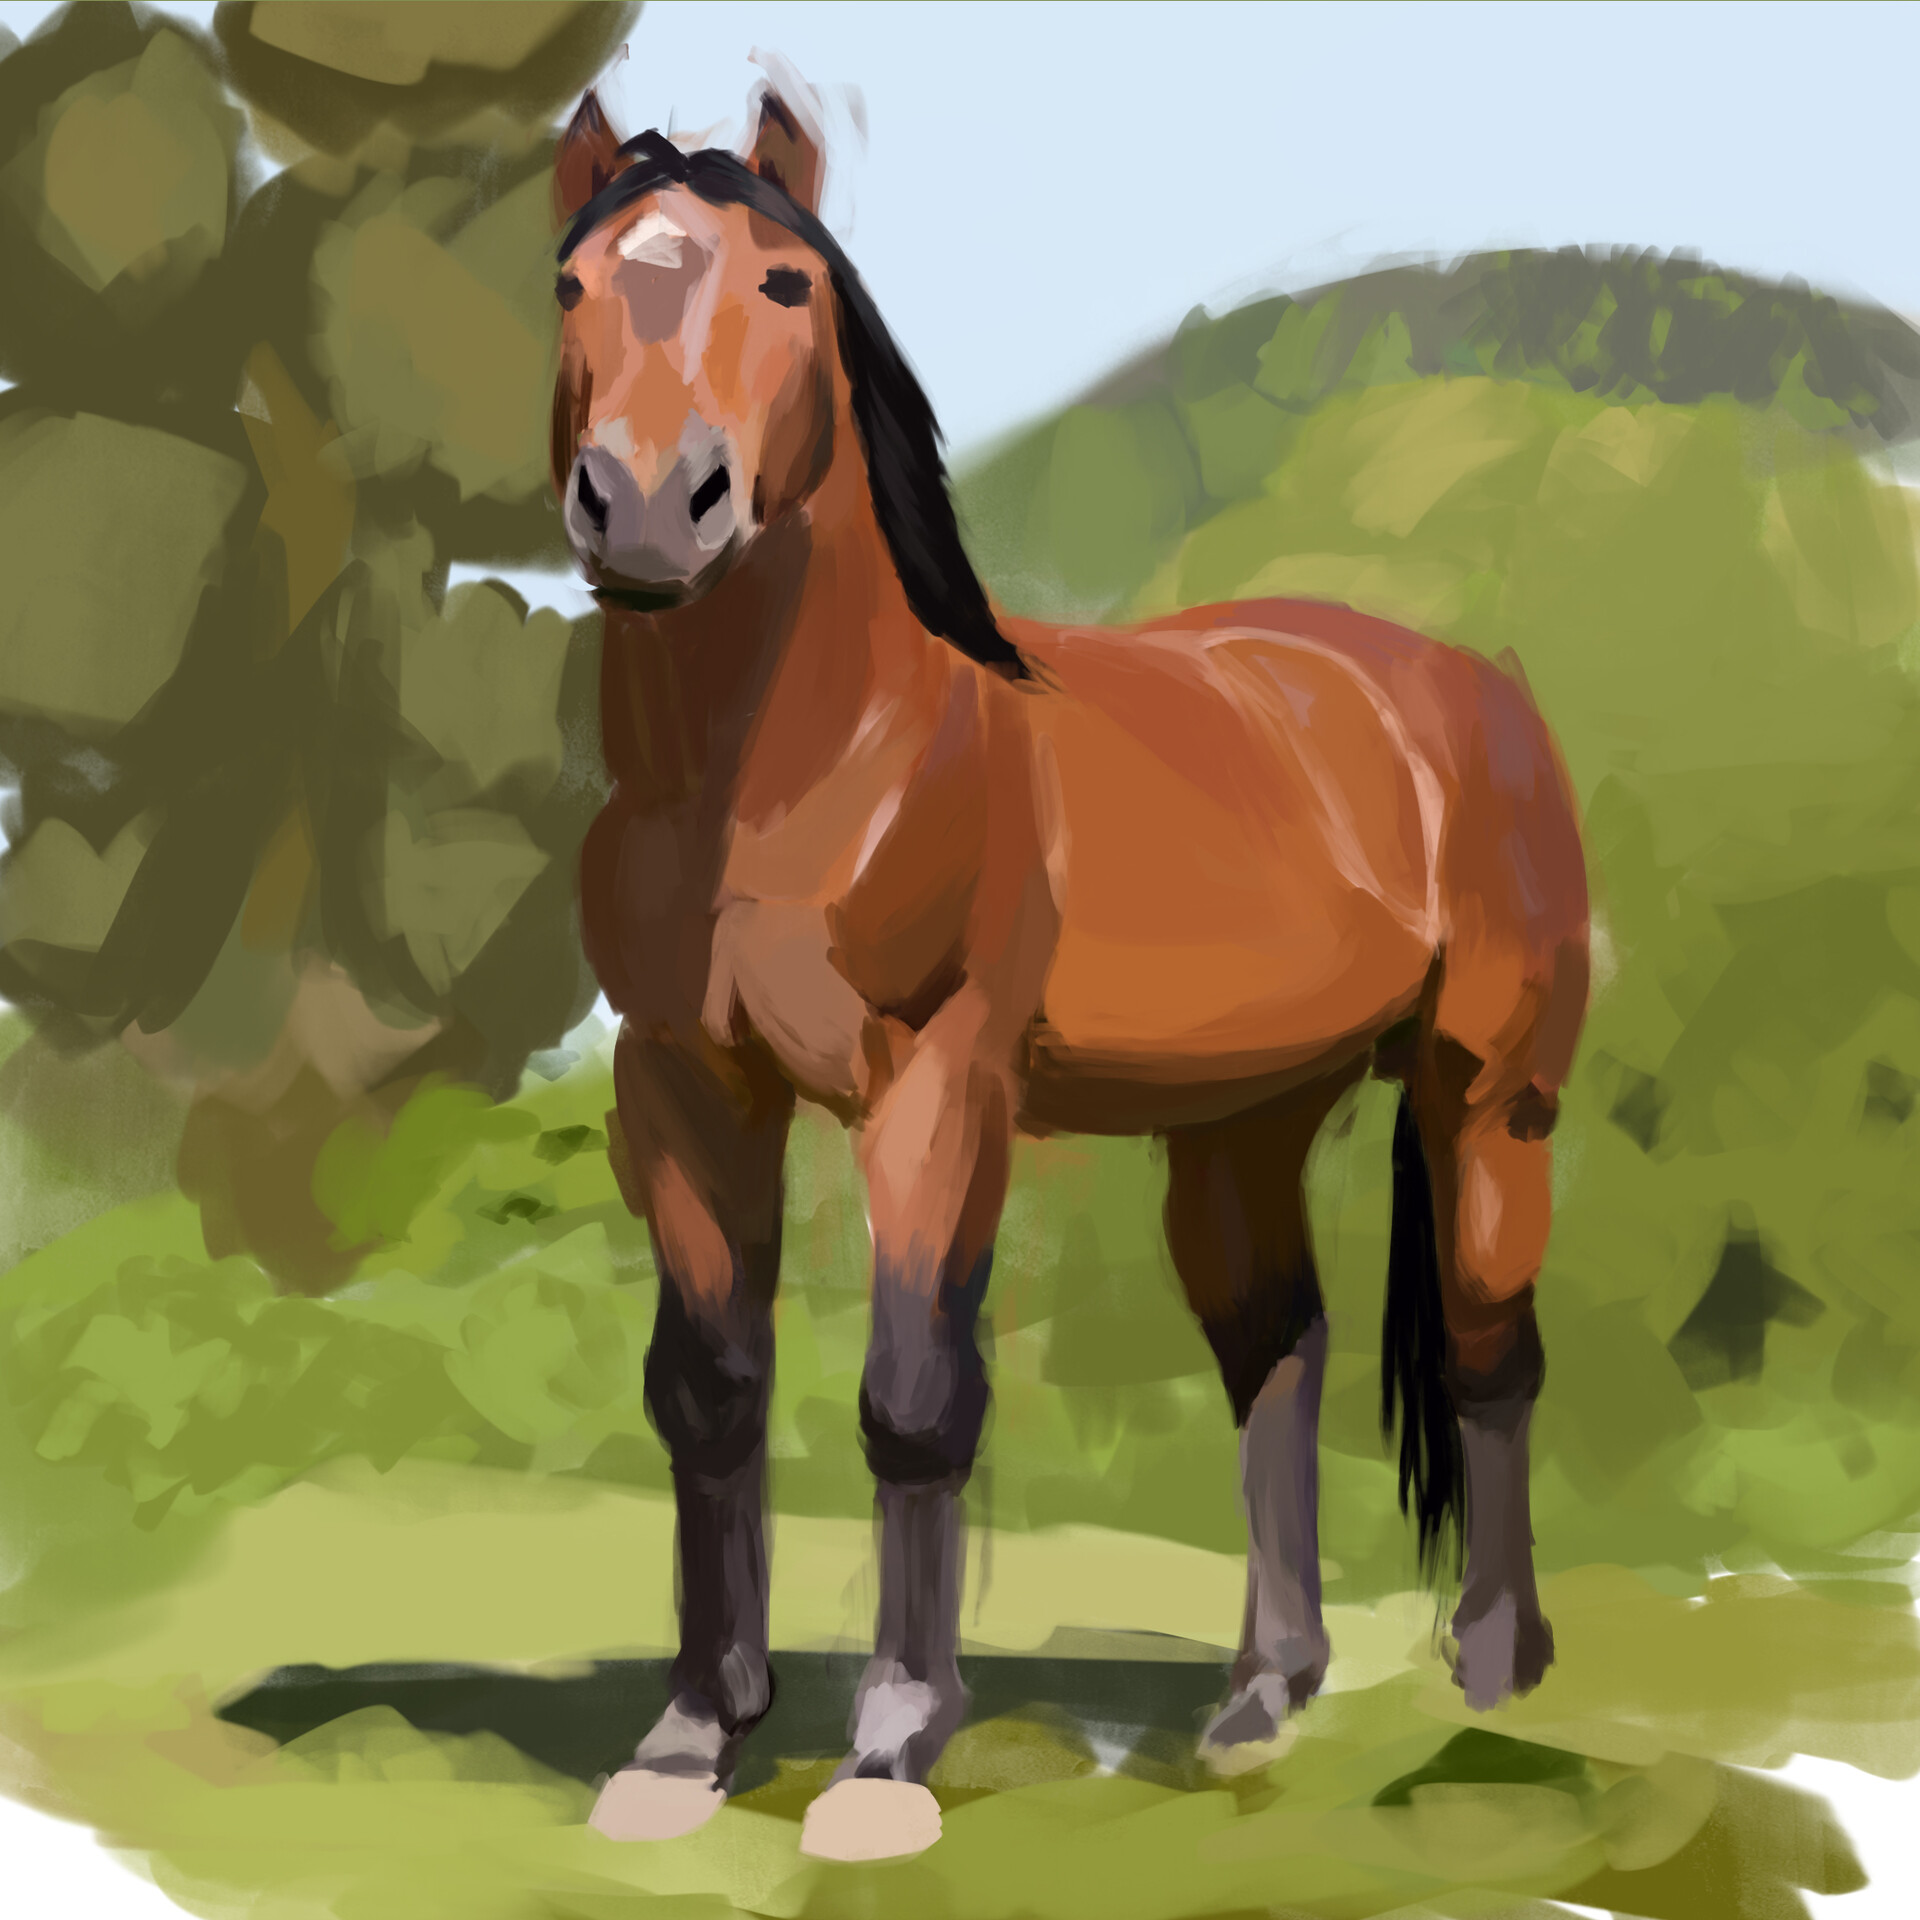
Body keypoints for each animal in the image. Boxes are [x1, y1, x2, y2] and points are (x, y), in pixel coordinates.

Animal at [546, 69, 1589, 1862]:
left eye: (785, 283)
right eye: (570, 285)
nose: (651, 507)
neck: (799, 769)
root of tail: (1468, 688)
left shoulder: (937, 1087)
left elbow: (912, 1394)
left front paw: (888, 1759)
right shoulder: (681, 1085)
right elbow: (711, 1388)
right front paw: (687, 1745)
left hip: (1489, 1099)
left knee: (1486, 1356)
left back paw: (1492, 1679)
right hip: (1238, 1129)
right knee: (1277, 1351)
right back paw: (1260, 1704)